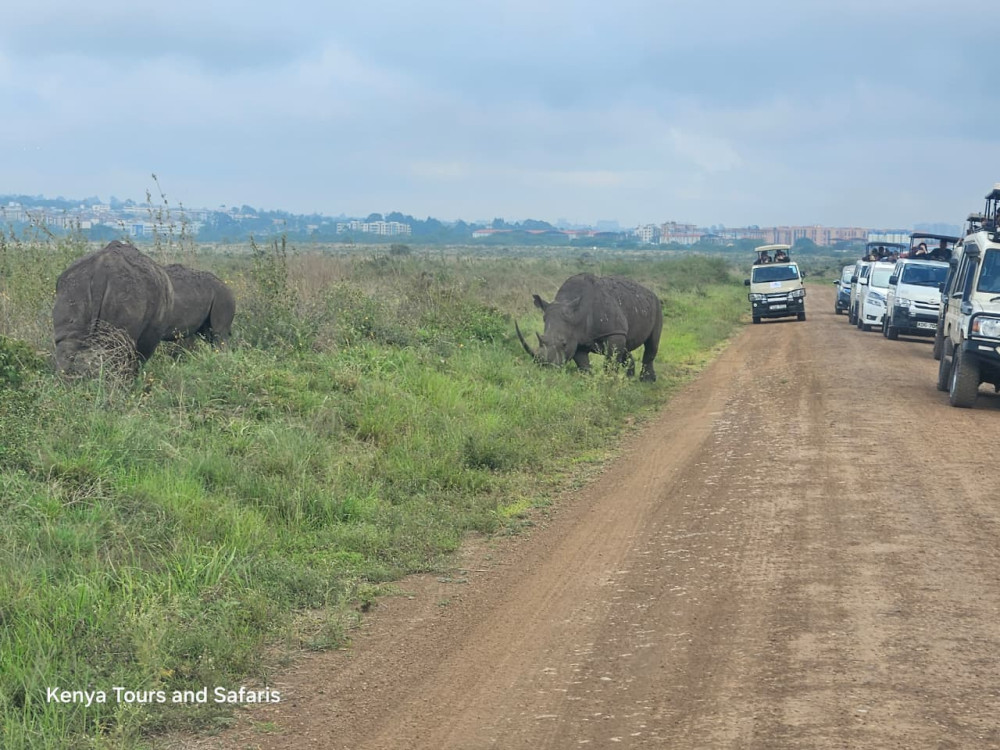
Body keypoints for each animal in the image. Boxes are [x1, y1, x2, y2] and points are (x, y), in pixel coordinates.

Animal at [516, 273, 663, 382]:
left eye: (564, 344)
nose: (546, 366)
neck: (577, 314)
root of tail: (649, 291)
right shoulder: (577, 338)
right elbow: (583, 364)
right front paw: (588, 380)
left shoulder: (614, 331)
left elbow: (611, 359)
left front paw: (608, 381)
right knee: (625, 347)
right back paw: (630, 378)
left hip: (656, 305)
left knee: (651, 344)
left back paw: (647, 381)